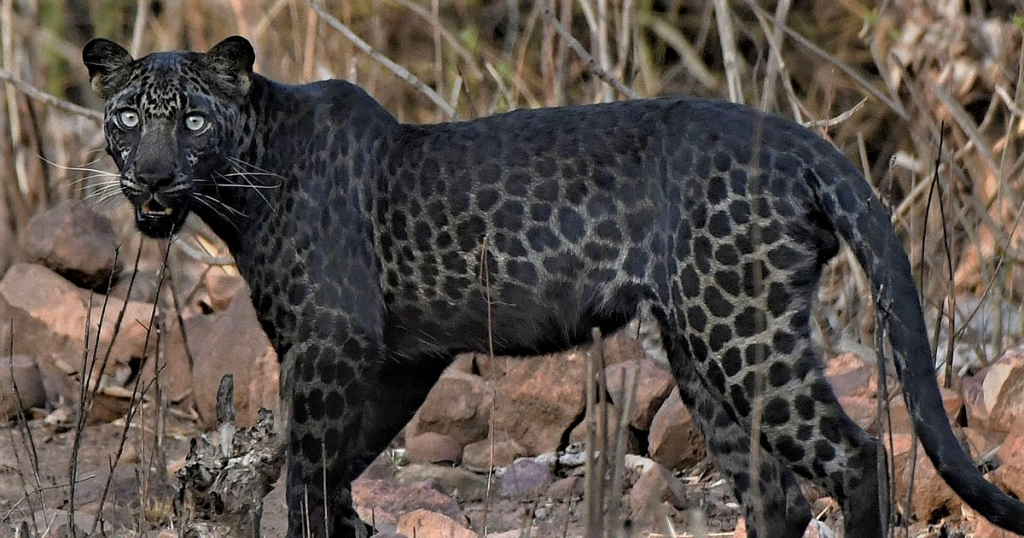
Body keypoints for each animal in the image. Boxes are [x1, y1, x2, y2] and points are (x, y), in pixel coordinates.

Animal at [82, 36, 1024, 537]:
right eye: (127, 116)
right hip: (703, 355)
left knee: (855, 456)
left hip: (742, 331)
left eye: (192, 119)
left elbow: (309, 477)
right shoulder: (399, 358)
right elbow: (340, 471)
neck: (241, 188)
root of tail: (804, 141)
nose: (152, 178)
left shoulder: (331, 346)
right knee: (777, 495)